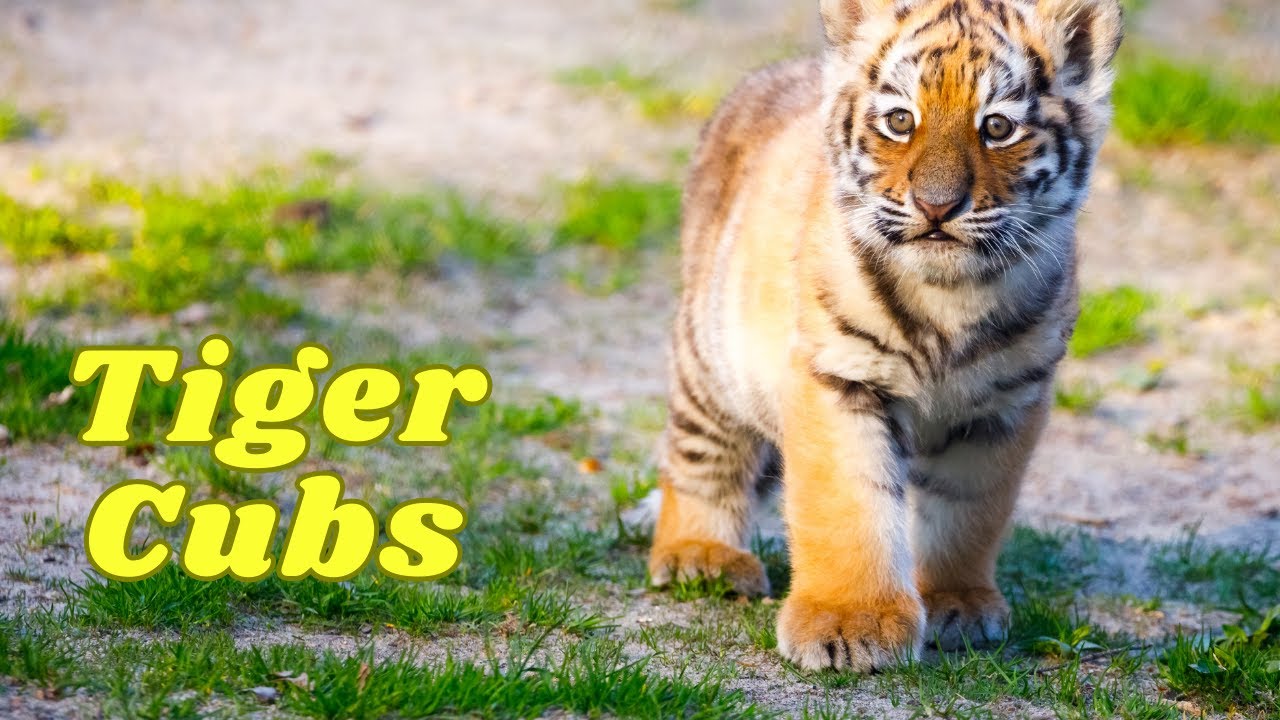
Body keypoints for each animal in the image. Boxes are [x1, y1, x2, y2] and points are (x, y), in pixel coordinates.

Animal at [647, 0, 1123, 671]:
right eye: (901, 120)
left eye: (997, 127)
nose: (937, 206)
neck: (951, 296)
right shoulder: (837, 379)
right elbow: (850, 504)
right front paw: (849, 623)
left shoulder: (1006, 404)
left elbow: (970, 510)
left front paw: (956, 602)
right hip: (712, 360)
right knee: (699, 455)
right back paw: (702, 555)